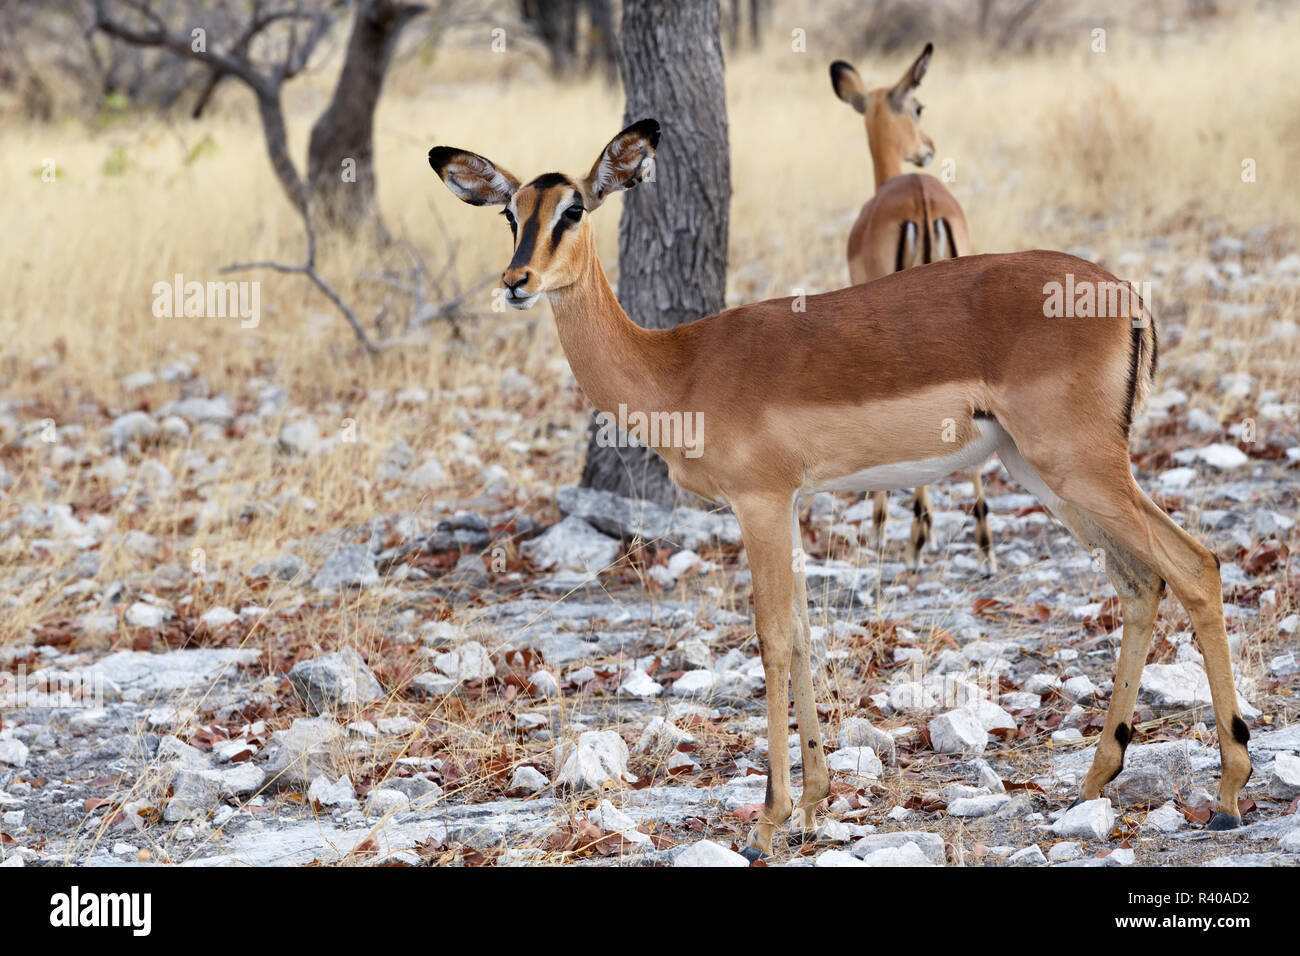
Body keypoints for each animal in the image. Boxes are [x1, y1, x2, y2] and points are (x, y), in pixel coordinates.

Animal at [428, 121, 1252, 859]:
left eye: (572, 210)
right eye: (510, 214)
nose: (515, 283)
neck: (677, 368)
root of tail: (1126, 297)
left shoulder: (759, 502)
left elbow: (770, 637)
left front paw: (766, 824)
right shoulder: (790, 505)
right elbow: (801, 633)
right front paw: (816, 808)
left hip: (1080, 465)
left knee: (1196, 565)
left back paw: (1229, 792)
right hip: (1044, 473)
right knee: (1141, 581)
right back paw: (1095, 778)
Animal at [831, 43, 994, 574]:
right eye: (920, 108)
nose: (928, 148)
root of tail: (921, 195)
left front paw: (887, 527)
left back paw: (914, 539)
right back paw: (983, 544)